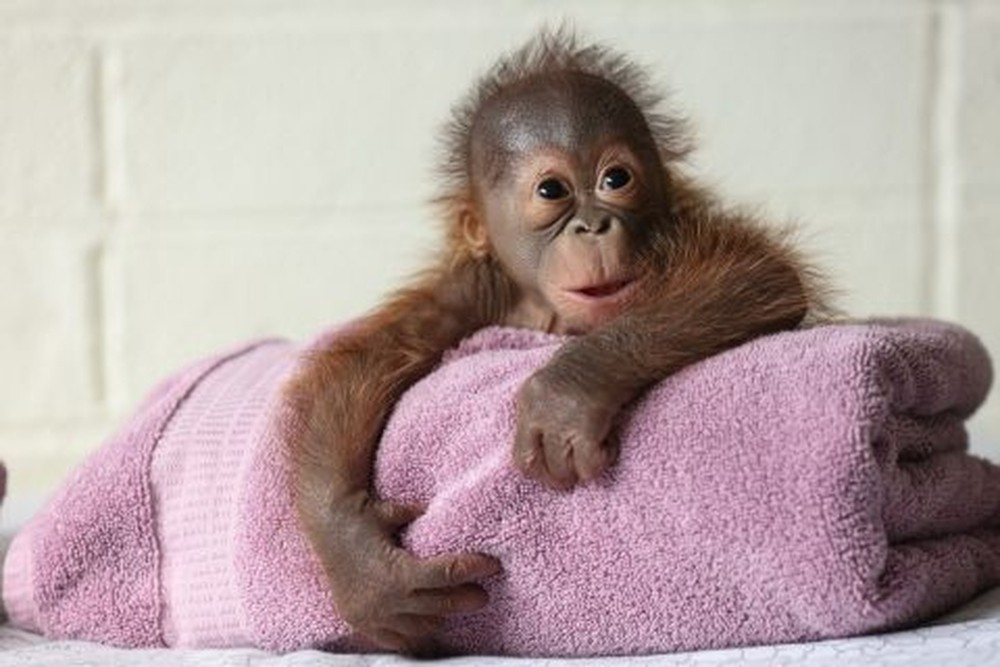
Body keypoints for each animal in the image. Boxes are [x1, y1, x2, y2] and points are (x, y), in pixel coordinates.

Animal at [284, 29, 828, 653]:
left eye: (616, 180)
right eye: (551, 191)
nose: (592, 225)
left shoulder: (680, 229)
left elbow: (761, 275)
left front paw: (568, 391)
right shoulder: (471, 288)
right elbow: (383, 351)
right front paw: (362, 564)